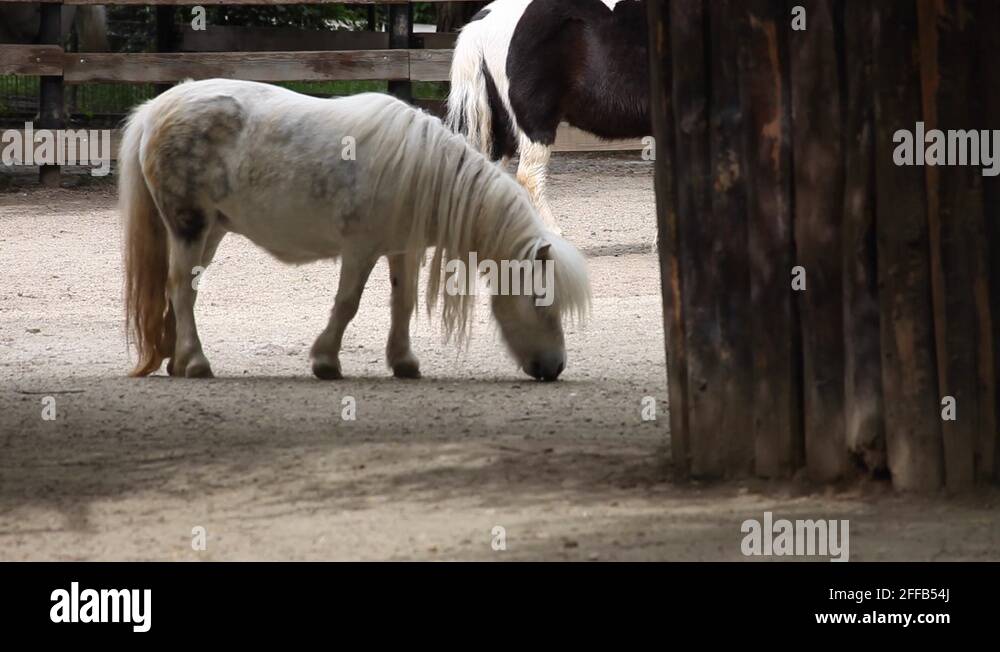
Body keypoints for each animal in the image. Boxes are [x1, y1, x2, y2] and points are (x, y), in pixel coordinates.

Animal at [120, 79, 590, 383]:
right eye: (542, 302)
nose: (556, 367)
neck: (420, 170)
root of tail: (155, 111)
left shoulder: (403, 250)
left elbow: (402, 303)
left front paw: (404, 362)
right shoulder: (360, 250)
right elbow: (347, 304)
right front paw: (326, 361)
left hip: (211, 232)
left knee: (183, 289)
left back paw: (178, 362)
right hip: (189, 226)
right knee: (180, 288)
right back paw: (196, 363)